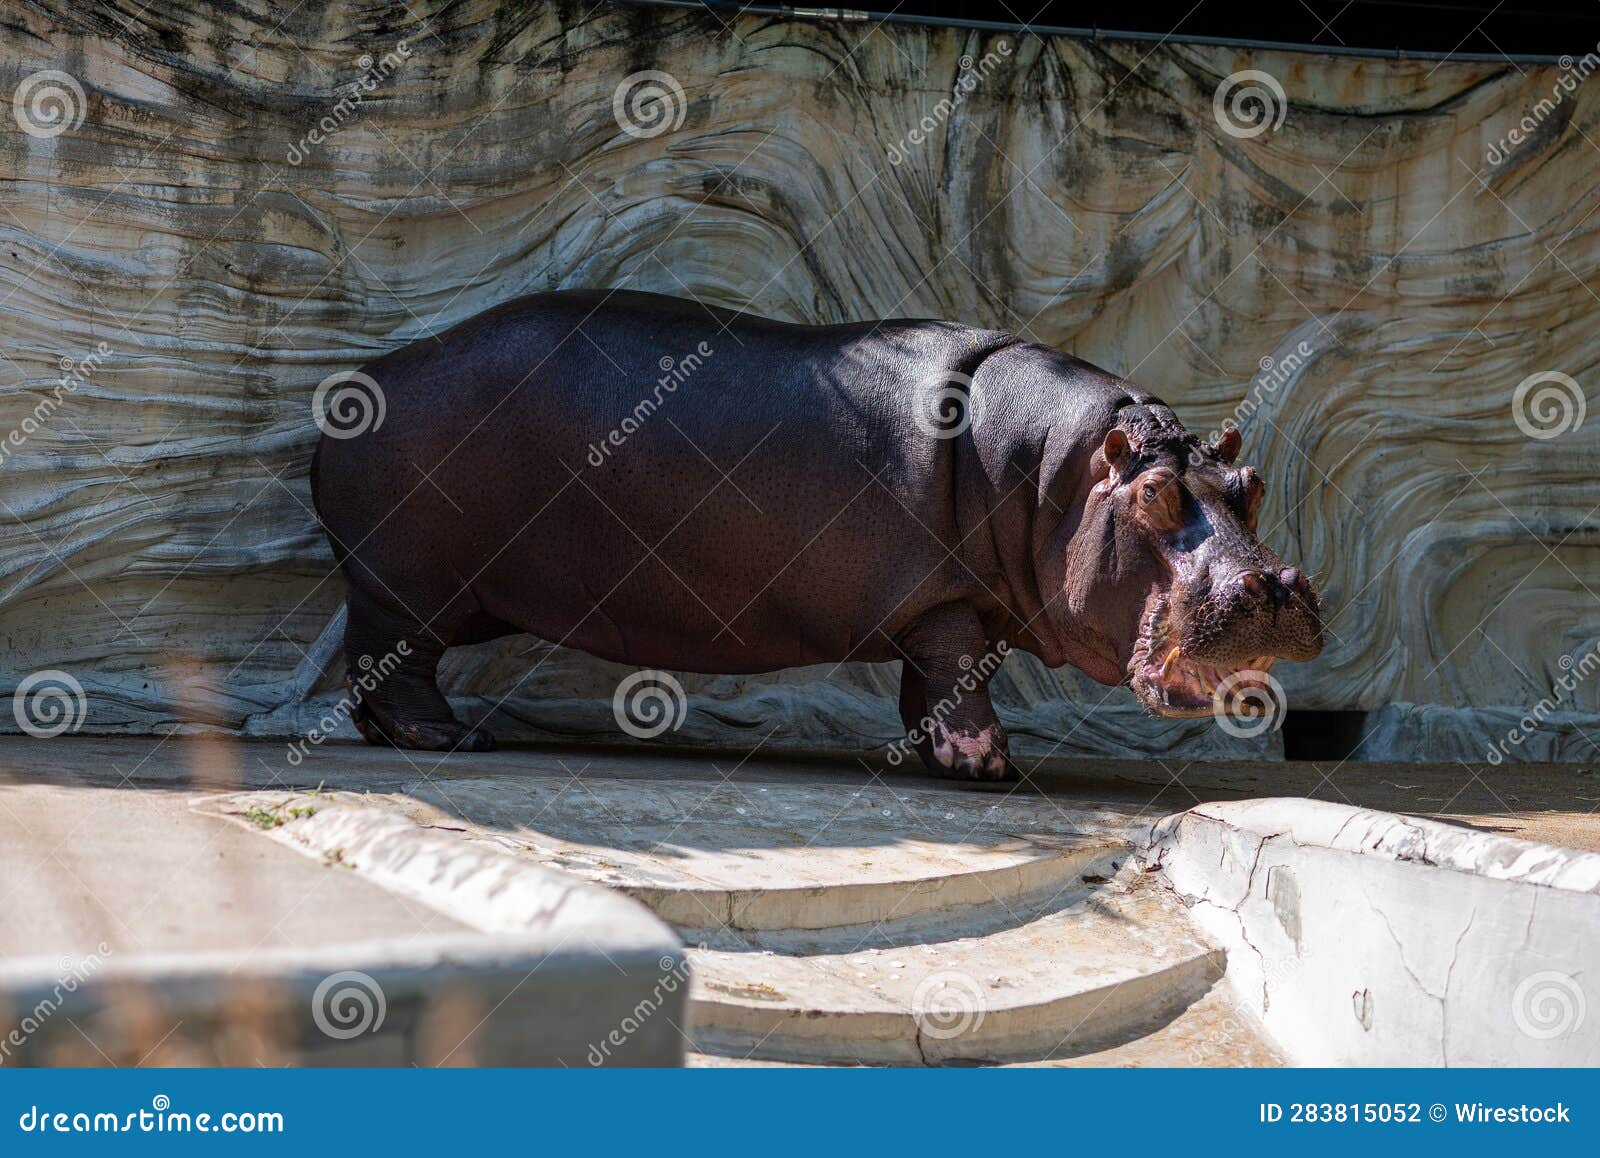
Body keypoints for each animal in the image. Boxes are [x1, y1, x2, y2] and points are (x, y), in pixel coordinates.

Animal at [310, 289, 1323, 780]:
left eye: (1248, 485)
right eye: (1151, 497)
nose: (1275, 586)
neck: (1060, 474)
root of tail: (366, 380)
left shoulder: (953, 600)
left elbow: (935, 682)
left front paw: (940, 754)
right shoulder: (945, 600)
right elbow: (958, 676)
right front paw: (987, 765)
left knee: (376, 669)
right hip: (412, 584)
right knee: (393, 662)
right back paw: (452, 739)